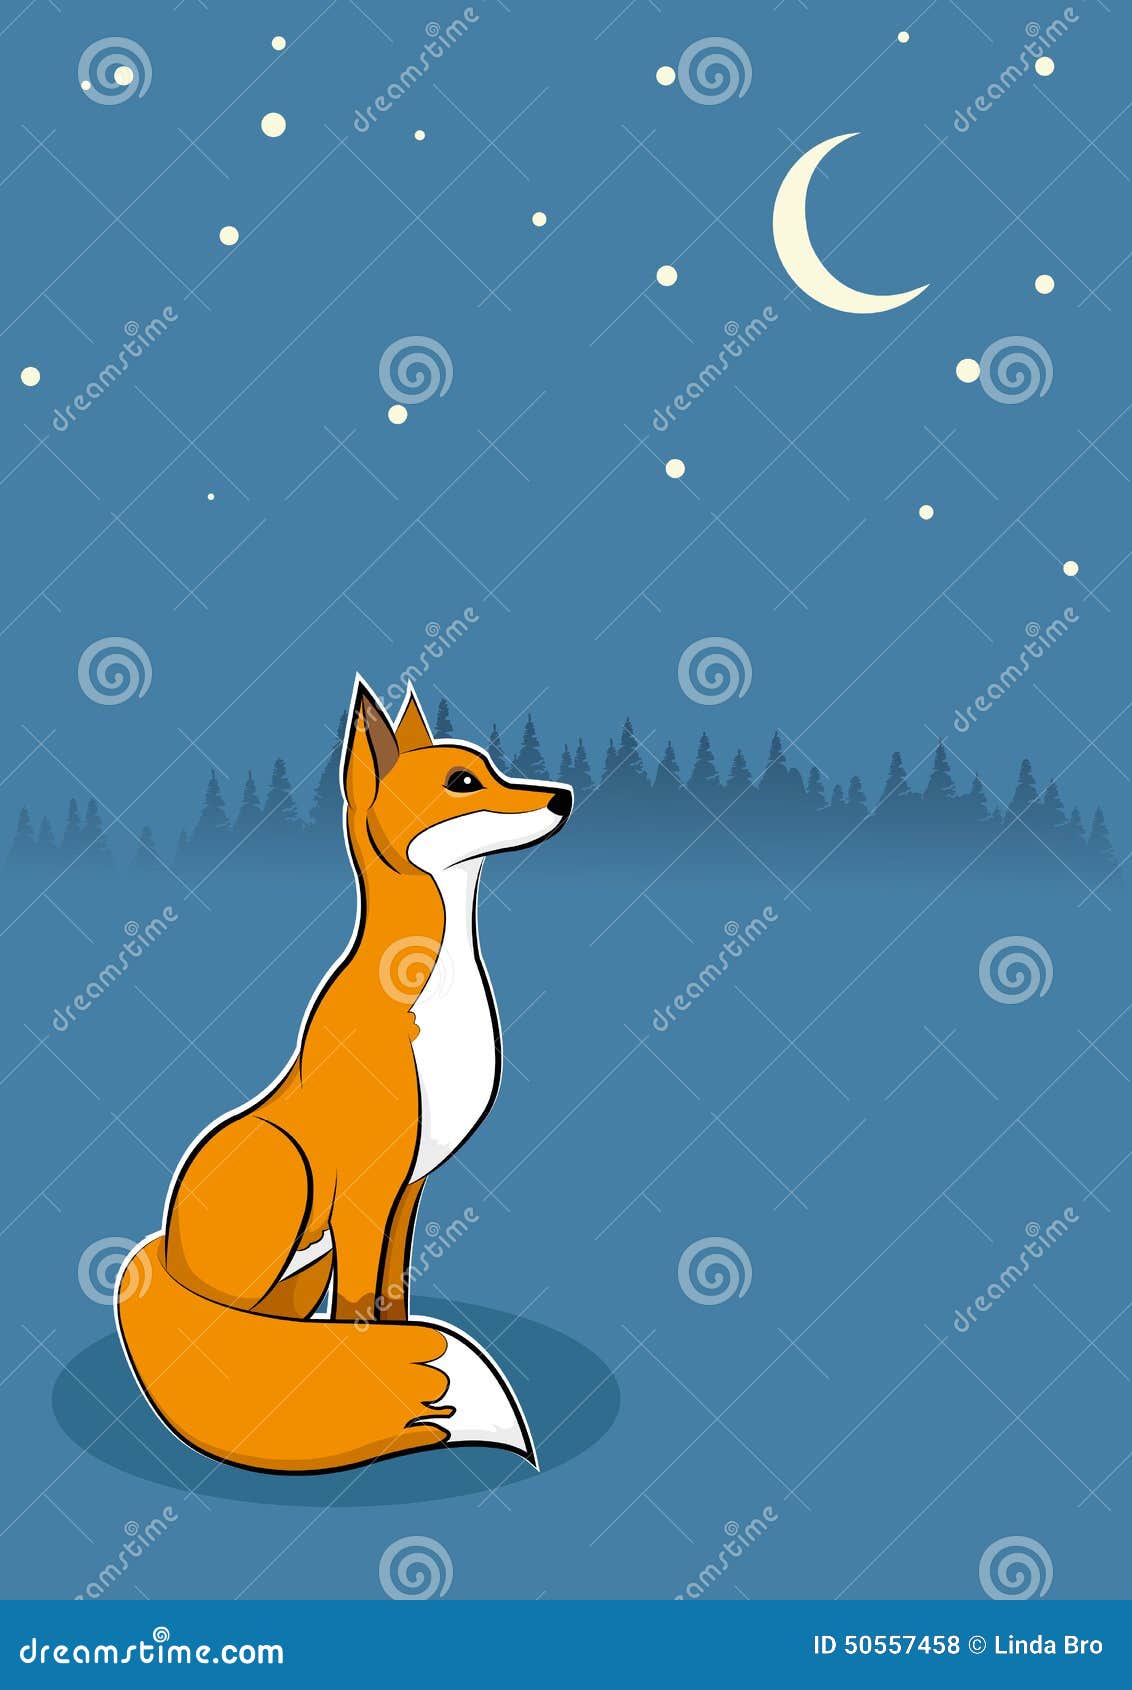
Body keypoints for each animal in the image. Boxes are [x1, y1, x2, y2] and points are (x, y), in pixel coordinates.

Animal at [115, 678, 571, 1473]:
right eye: (464, 782)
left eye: (493, 769)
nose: (564, 798)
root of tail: (161, 1255)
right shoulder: (364, 1187)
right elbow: (360, 1314)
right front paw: (369, 1362)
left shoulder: (409, 1186)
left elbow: (393, 1300)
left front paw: (391, 1345)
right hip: (284, 1167)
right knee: (236, 1316)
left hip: (304, 1267)